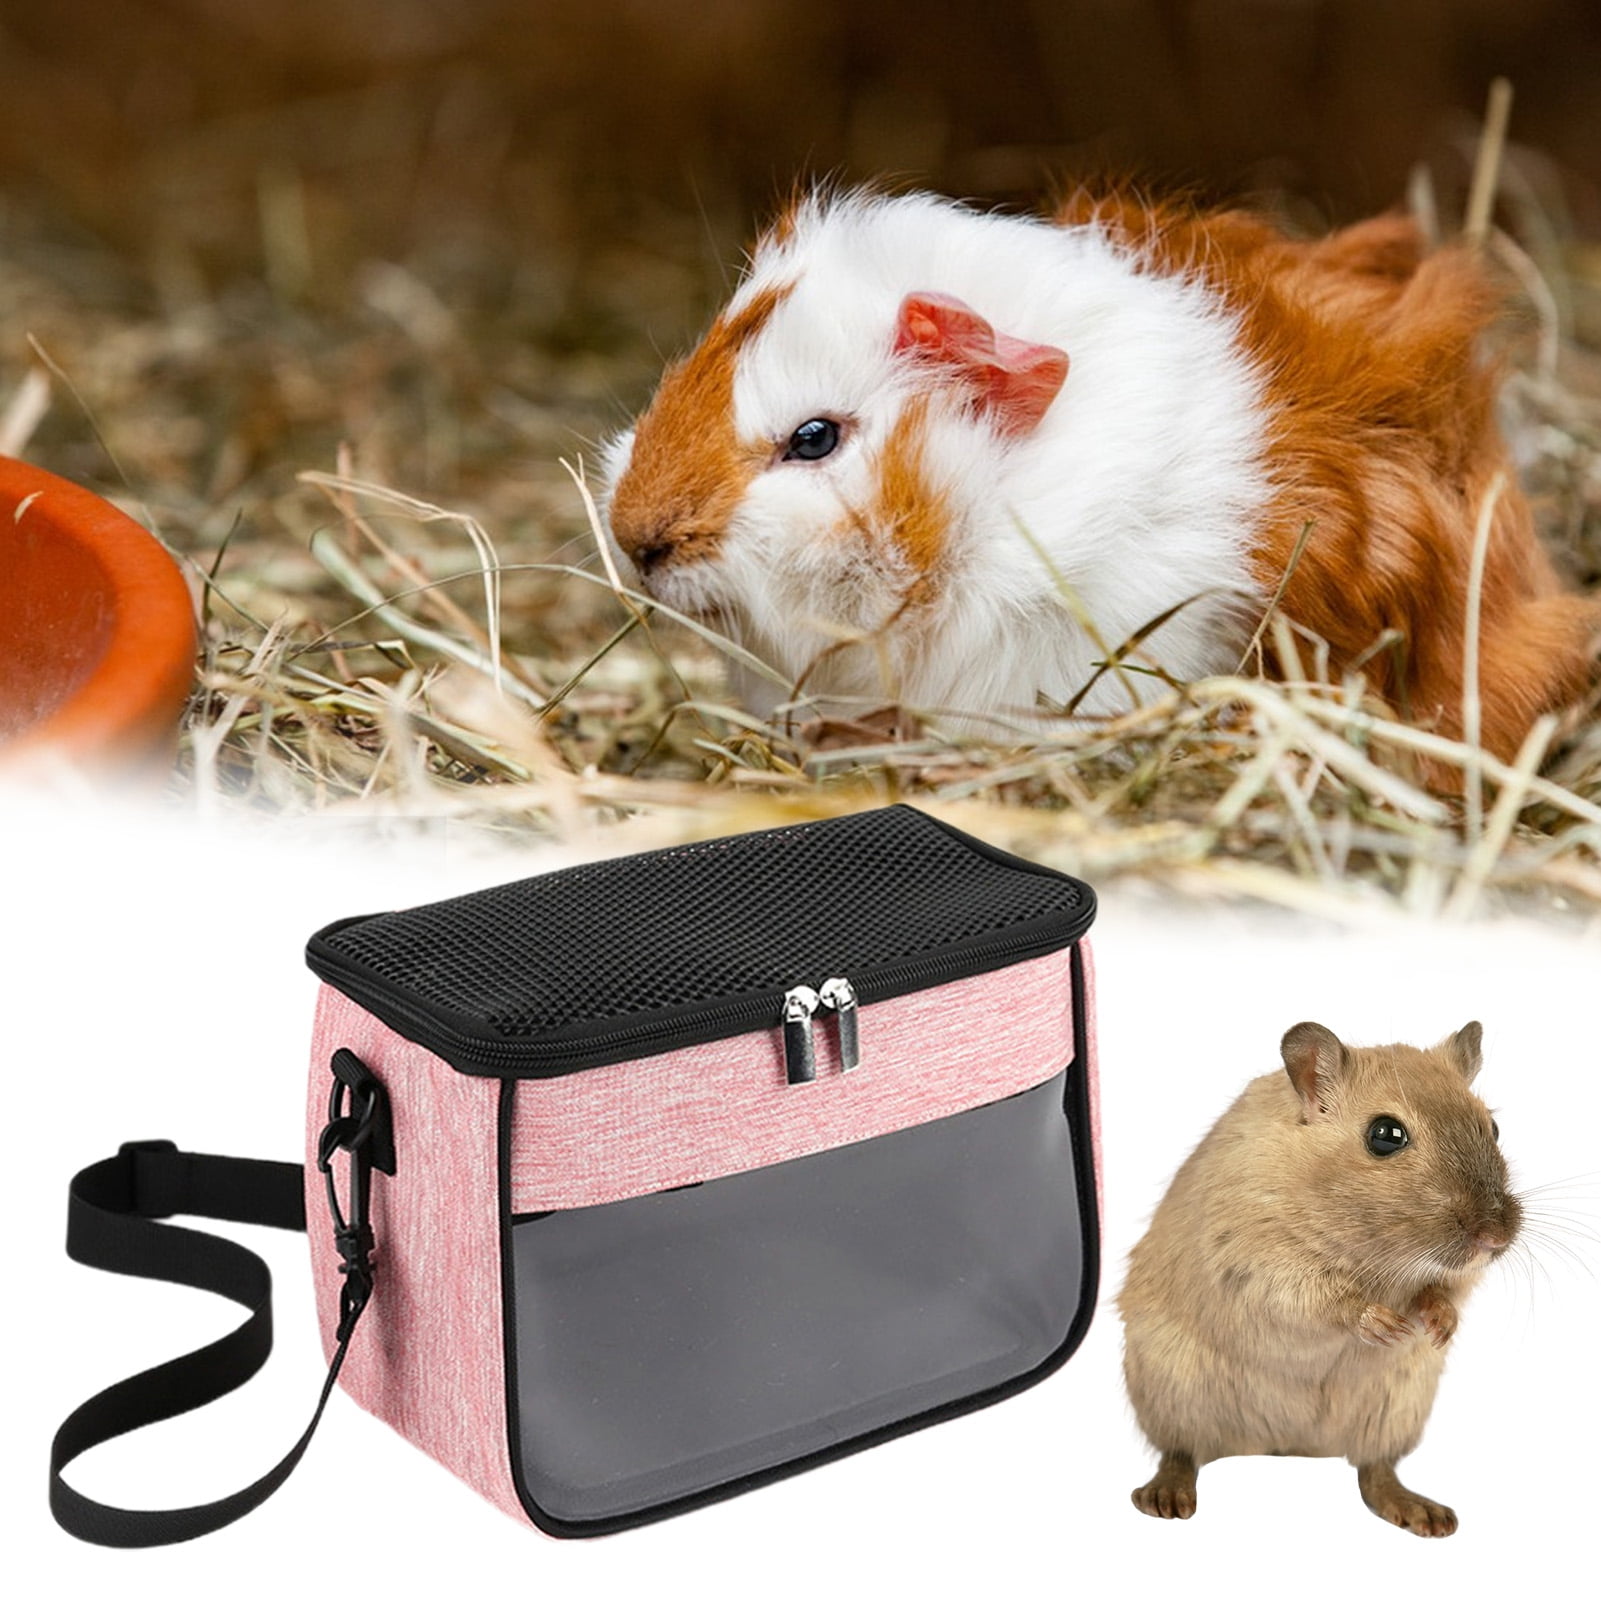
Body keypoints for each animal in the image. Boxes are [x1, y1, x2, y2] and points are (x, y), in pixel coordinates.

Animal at [1118, 1020, 1521, 1537]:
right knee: (1181, 1452)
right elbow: (1320, 1300)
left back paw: (1424, 1514)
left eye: (1493, 1127)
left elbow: (1446, 1290)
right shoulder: (1256, 1259)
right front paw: (1383, 1324)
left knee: (1374, 1470)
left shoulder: (1453, 1276)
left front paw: (1438, 1325)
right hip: (1171, 1393)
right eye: (1385, 1135)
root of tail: (1286, 1446)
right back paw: (1165, 1497)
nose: (1495, 1237)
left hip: (1395, 1409)